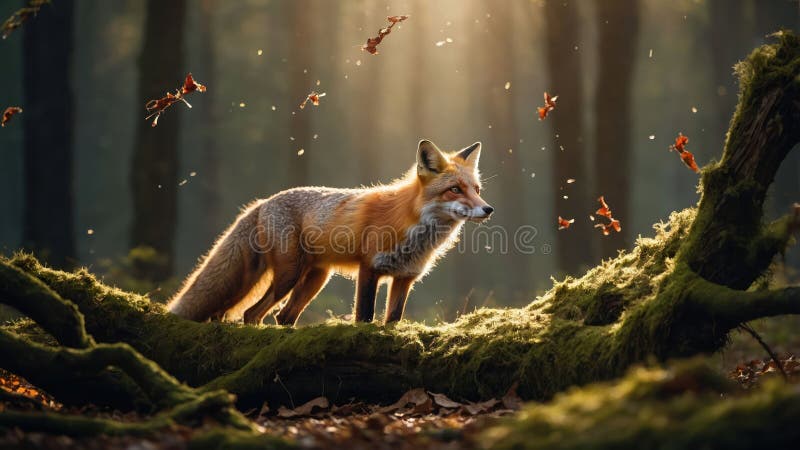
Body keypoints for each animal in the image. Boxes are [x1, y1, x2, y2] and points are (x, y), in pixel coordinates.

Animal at [167, 139, 494, 326]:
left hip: (315, 279)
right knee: (252, 314)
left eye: (476, 190)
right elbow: (364, 316)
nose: (488, 209)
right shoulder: (369, 268)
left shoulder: (404, 278)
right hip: (289, 275)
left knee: (282, 317)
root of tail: (262, 202)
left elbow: (392, 320)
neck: (414, 228)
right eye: (455, 189)